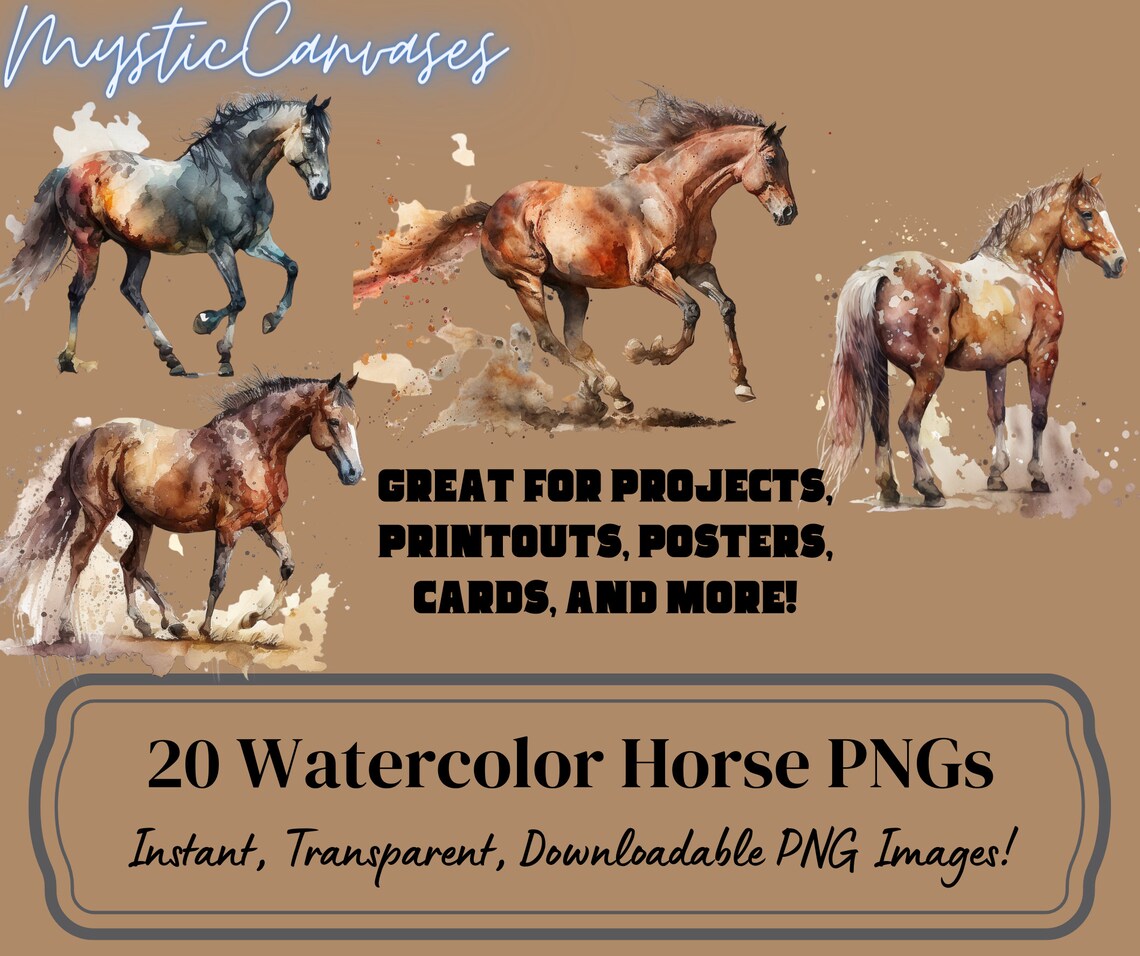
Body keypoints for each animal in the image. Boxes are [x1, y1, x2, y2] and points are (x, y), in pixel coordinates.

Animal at [0, 94, 332, 377]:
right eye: (310, 138)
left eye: (328, 139)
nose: (322, 190)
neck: (234, 174)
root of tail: (69, 169)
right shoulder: (220, 248)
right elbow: (238, 298)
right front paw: (204, 323)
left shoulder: (255, 243)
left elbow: (291, 268)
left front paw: (256, 334)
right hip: (88, 242)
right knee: (77, 292)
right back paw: (68, 360)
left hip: (136, 249)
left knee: (130, 290)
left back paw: (172, 358)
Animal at [0, 373, 362, 644]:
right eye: (333, 421)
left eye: (355, 420)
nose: (354, 474)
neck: (254, 447)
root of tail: (85, 437)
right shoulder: (229, 528)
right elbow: (218, 579)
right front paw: (208, 630)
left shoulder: (267, 520)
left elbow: (287, 565)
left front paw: (251, 618)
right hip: (99, 515)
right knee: (80, 557)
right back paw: (66, 629)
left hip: (140, 521)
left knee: (132, 563)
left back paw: (159, 623)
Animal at [353, 88, 797, 415]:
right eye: (771, 158)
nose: (789, 213)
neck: (674, 195)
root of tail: (492, 209)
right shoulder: (650, 273)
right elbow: (691, 311)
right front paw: (647, 354)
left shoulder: (697, 268)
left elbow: (726, 307)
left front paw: (742, 384)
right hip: (527, 281)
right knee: (552, 342)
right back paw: (607, 391)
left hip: (572, 289)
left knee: (575, 342)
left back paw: (609, 394)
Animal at [819, 172, 1125, 507]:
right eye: (1087, 213)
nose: (1119, 261)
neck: (1023, 268)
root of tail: (881, 272)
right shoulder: (1044, 354)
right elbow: (1039, 416)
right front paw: (1038, 476)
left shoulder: (996, 364)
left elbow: (997, 414)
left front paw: (997, 475)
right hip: (929, 374)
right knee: (908, 422)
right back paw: (929, 488)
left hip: (879, 370)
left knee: (880, 420)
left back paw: (889, 489)